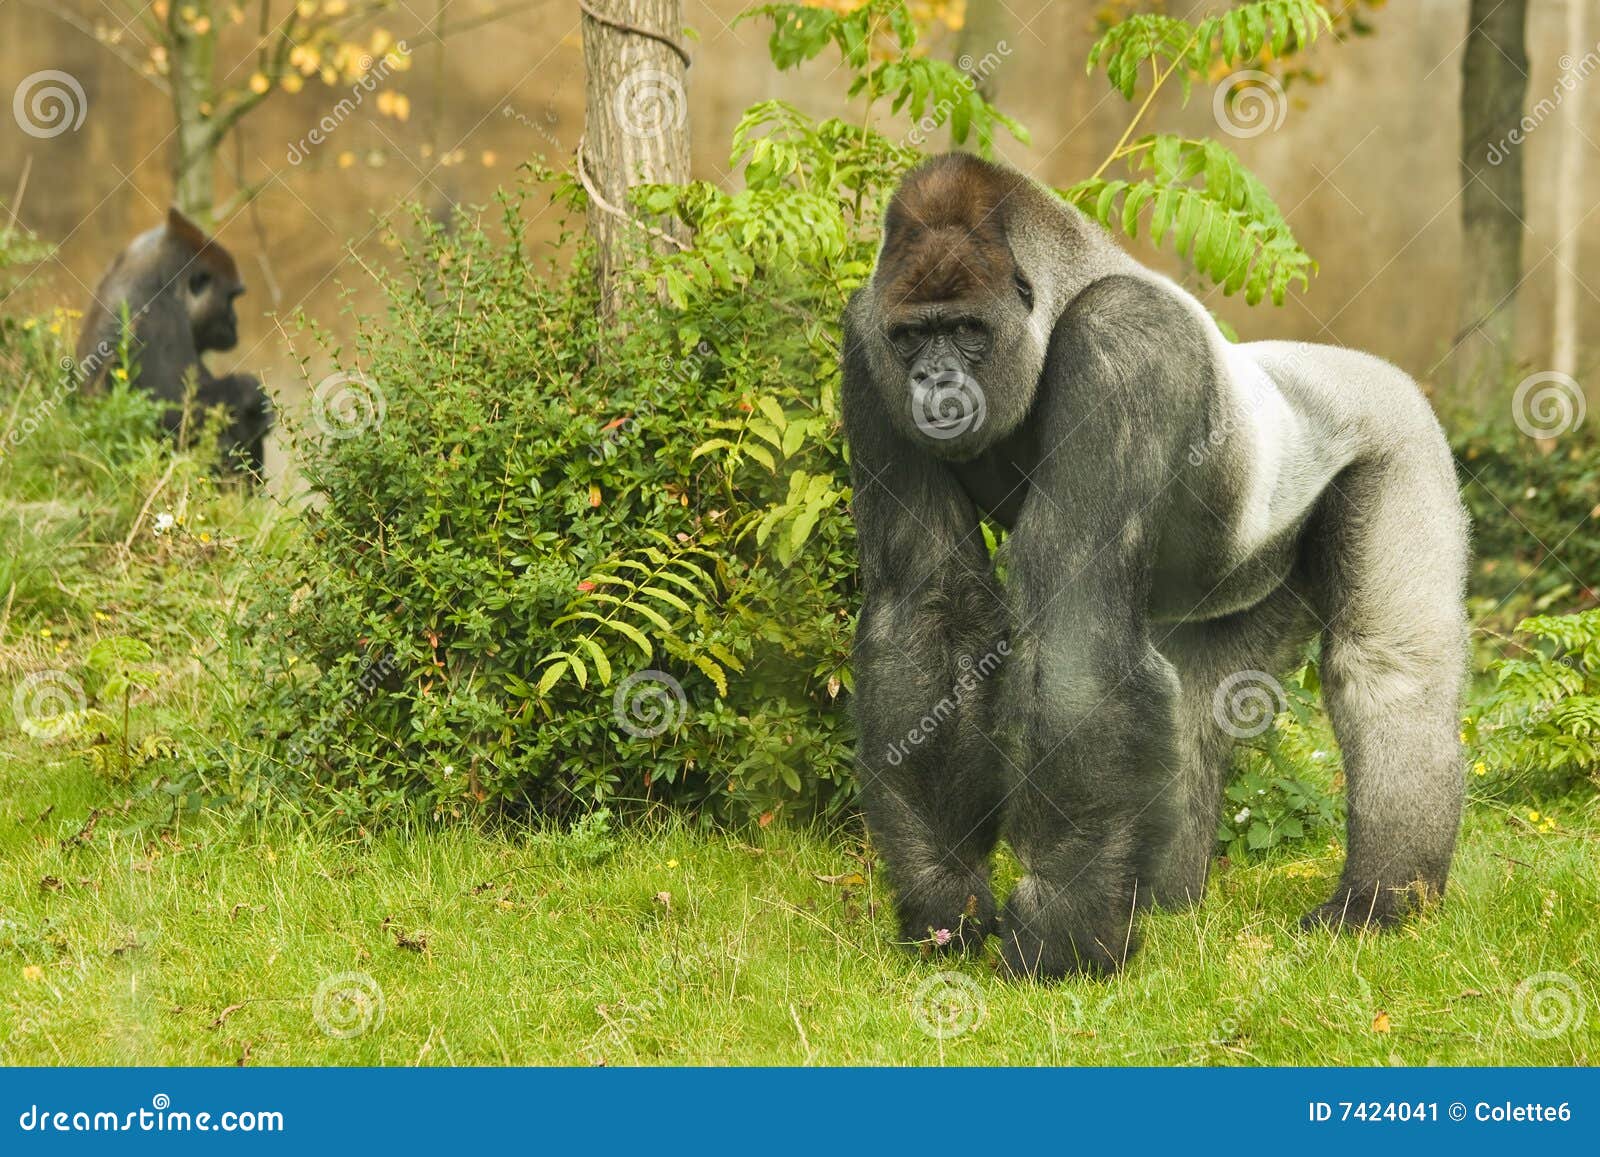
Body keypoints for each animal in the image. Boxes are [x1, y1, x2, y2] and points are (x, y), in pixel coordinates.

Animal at [76, 208, 271, 477]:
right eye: (230, 297)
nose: (235, 322)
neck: (161, 281)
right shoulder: (159, 318)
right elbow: (172, 410)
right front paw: (249, 391)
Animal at [843, 153, 1468, 979]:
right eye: (913, 337)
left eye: (966, 331)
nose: (933, 383)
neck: (1058, 297)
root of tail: (1382, 371)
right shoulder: (865, 342)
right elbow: (929, 602)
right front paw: (945, 895)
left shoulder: (1124, 340)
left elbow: (1075, 632)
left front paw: (1062, 934)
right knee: (1202, 693)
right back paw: (1167, 897)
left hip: (1401, 435)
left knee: (1388, 669)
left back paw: (1382, 902)